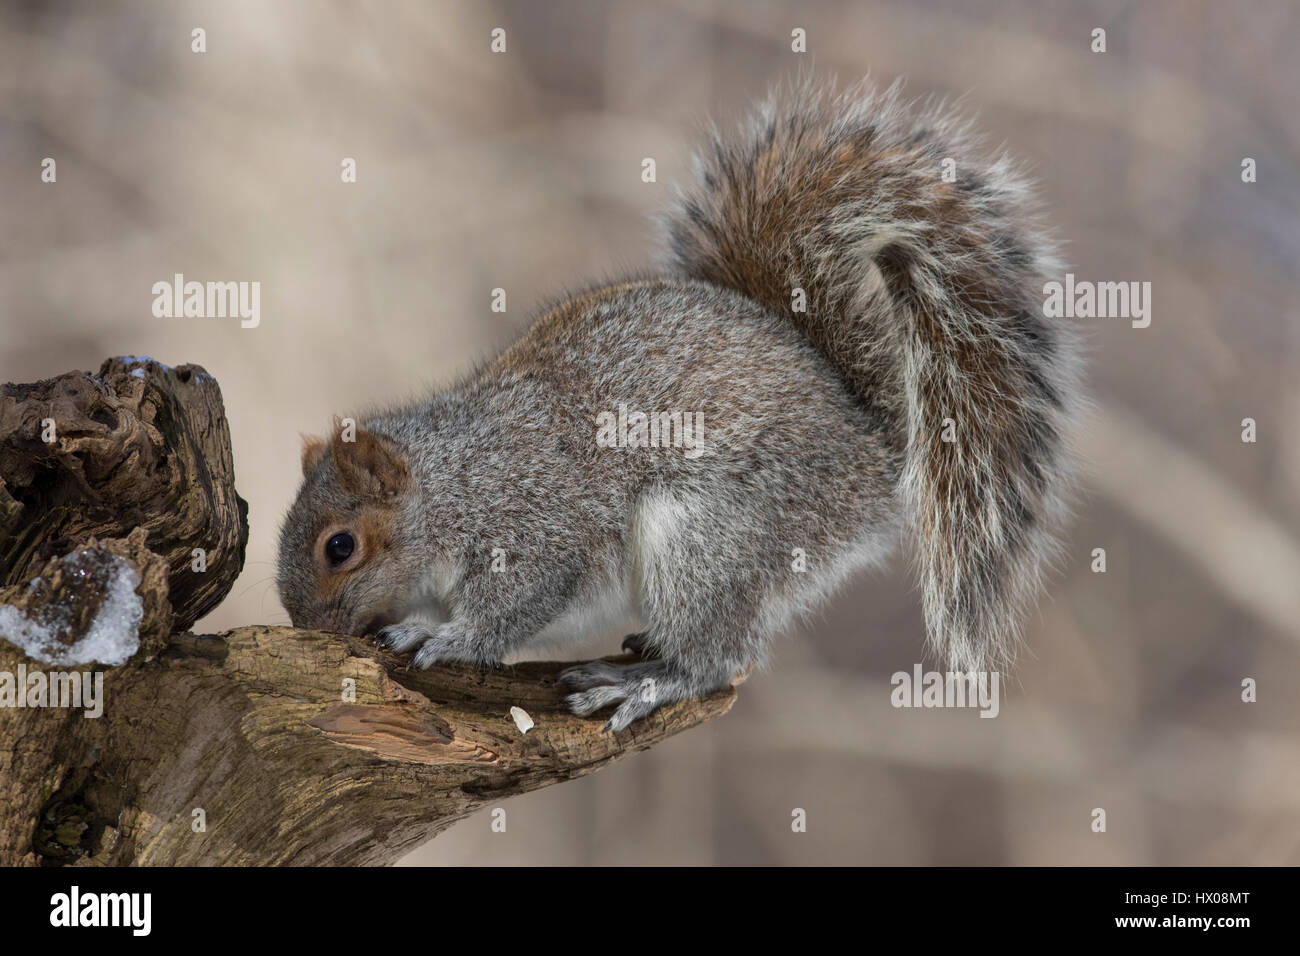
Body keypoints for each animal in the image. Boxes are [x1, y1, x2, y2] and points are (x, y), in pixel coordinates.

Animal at [277, 76, 1081, 731]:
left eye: (340, 546)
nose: (310, 628)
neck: (452, 482)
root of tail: (873, 458)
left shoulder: (532, 526)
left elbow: (514, 605)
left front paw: (438, 635)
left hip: (708, 537)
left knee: (721, 660)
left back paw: (648, 683)